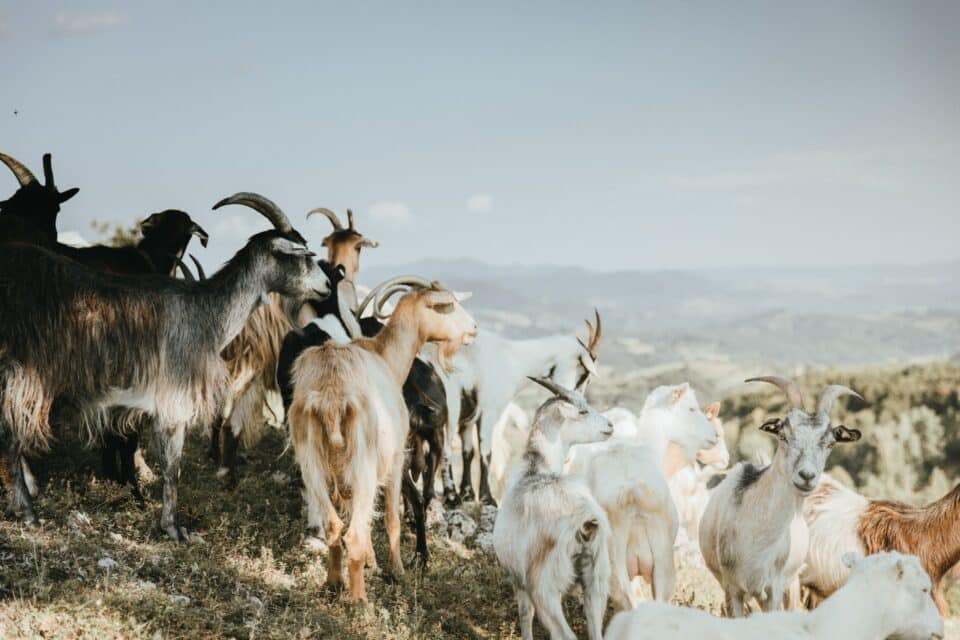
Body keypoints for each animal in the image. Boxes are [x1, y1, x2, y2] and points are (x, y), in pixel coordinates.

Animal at [0, 192, 329, 541]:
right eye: (303, 254)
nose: (326, 286)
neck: (206, 313)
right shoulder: (173, 399)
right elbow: (172, 466)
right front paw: (173, 528)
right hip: (25, 372)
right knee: (10, 436)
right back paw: (27, 511)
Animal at [288, 277, 476, 602]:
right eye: (449, 304)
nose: (473, 328)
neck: (385, 357)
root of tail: (330, 394)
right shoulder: (395, 458)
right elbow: (391, 517)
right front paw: (395, 568)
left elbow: (364, 516)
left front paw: (371, 563)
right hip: (361, 460)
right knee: (353, 532)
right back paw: (359, 600)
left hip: (313, 463)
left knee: (334, 526)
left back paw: (334, 583)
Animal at [439, 312, 602, 506]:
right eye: (585, 373)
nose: (576, 398)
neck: (511, 358)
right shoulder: (488, 411)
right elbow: (486, 452)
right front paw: (487, 498)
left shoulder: (469, 419)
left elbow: (468, 452)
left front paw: (468, 494)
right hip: (451, 409)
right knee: (445, 448)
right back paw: (451, 497)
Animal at [493, 377, 613, 640]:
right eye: (582, 410)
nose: (610, 426)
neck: (535, 468)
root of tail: (585, 522)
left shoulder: (518, 578)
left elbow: (525, 614)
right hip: (596, 581)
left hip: (545, 587)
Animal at [699, 376, 864, 616]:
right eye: (783, 436)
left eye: (831, 443)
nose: (807, 476)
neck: (758, 534)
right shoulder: (733, 589)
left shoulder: (774, 589)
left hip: (792, 582)